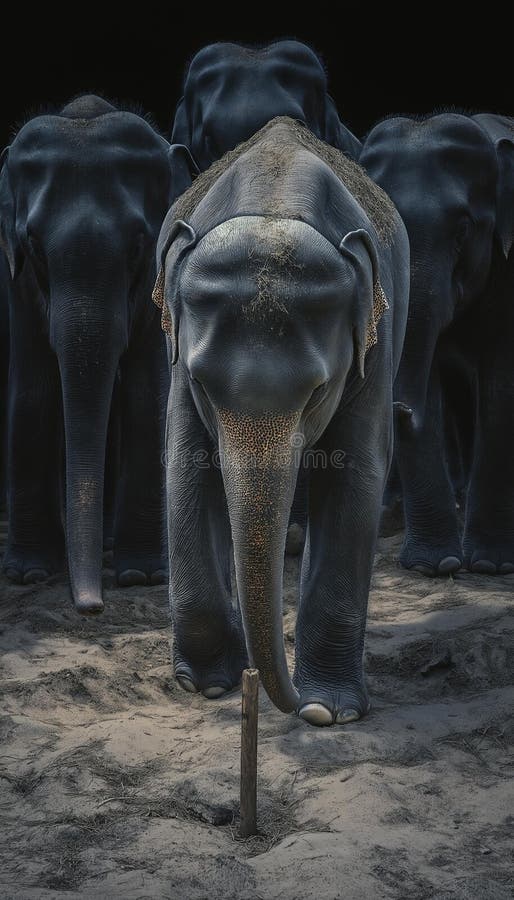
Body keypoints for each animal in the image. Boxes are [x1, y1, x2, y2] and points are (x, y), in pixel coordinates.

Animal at [0, 95, 172, 613]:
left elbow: (146, 394)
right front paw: (30, 573)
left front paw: (140, 577)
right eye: (34, 245)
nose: (91, 606)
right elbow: (32, 390)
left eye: (138, 245)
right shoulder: (17, 278)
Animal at [153, 117, 409, 725]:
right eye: (203, 384)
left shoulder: (376, 341)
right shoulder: (177, 354)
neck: (274, 202)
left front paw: (327, 712)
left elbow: (359, 471)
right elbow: (185, 463)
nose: (289, 704)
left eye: (317, 391)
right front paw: (208, 687)